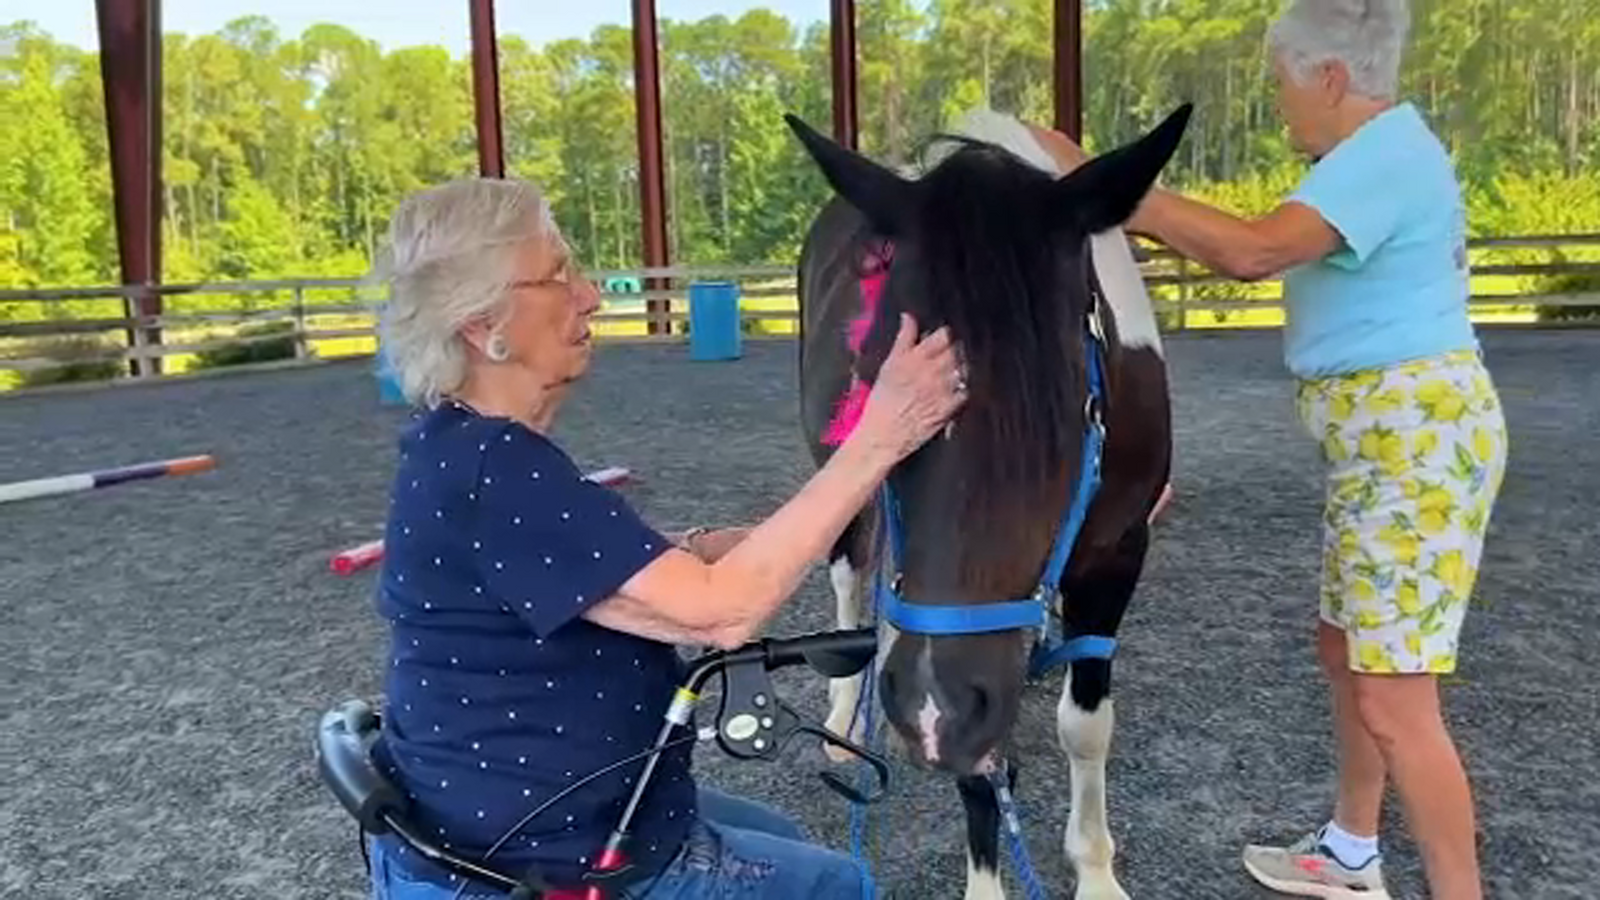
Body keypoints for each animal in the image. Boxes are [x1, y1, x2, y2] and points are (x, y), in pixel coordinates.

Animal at [786, 103, 1192, 900]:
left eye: (1072, 404)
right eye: (874, 377)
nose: (931, 712)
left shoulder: (1118, 549)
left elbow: (1086, 724)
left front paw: (1095, 870)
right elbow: (980, 770)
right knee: (849, 582)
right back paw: (846, 720)